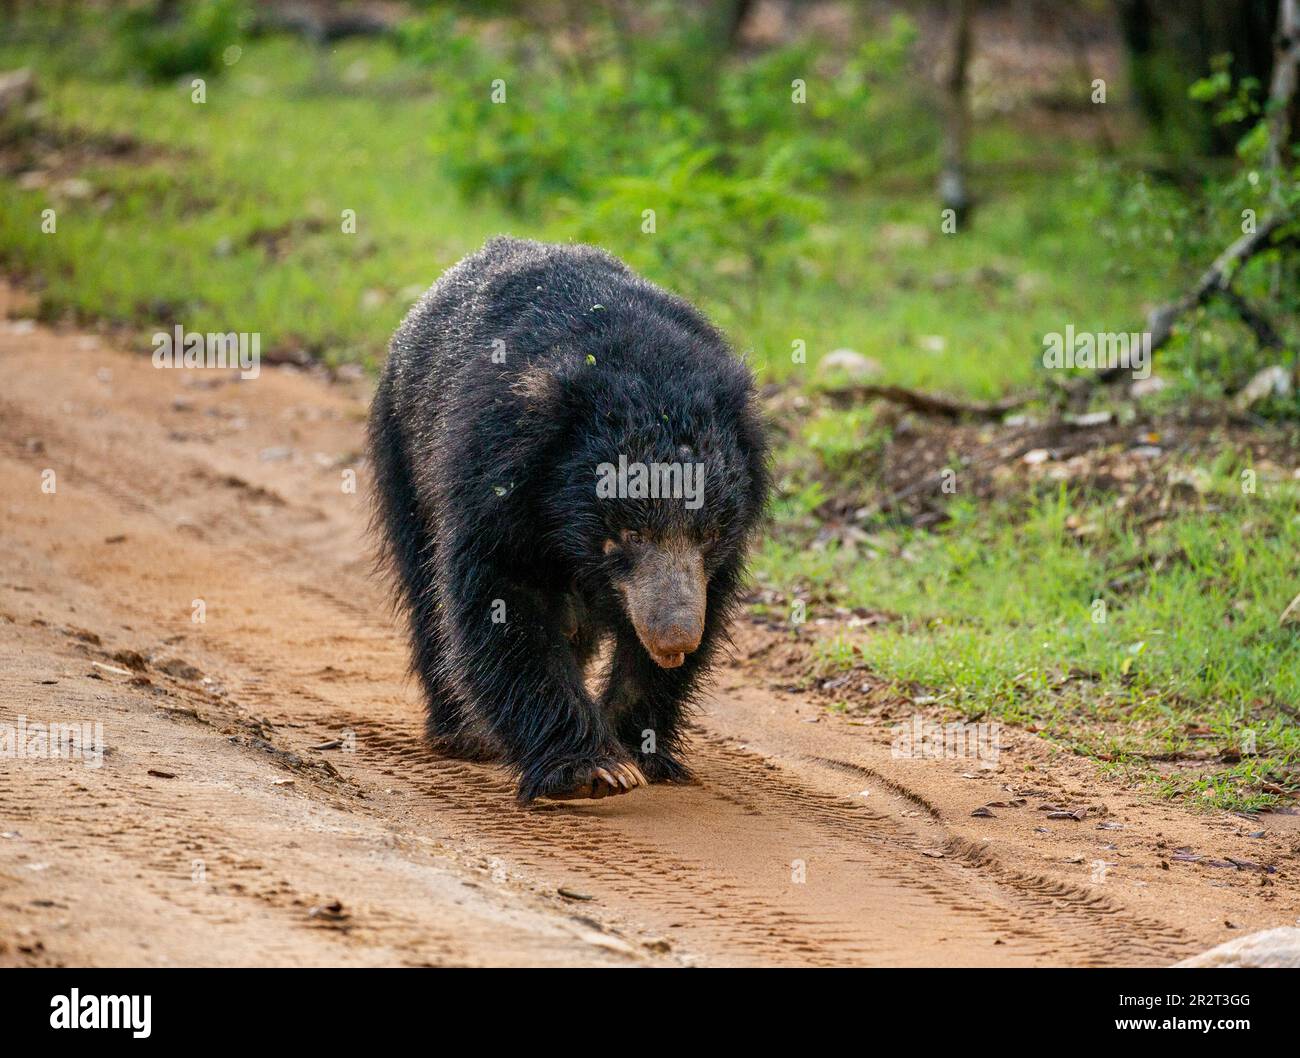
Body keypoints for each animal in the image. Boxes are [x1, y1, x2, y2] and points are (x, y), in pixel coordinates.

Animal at [368, 236, 769, 803]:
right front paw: (595, 769)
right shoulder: (497, 479)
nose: (674, 640)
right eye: (629, 533)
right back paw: (461, 732)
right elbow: (503, 597)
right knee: (427, 592)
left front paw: (637, 747)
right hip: (404, 454)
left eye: (709, 535)